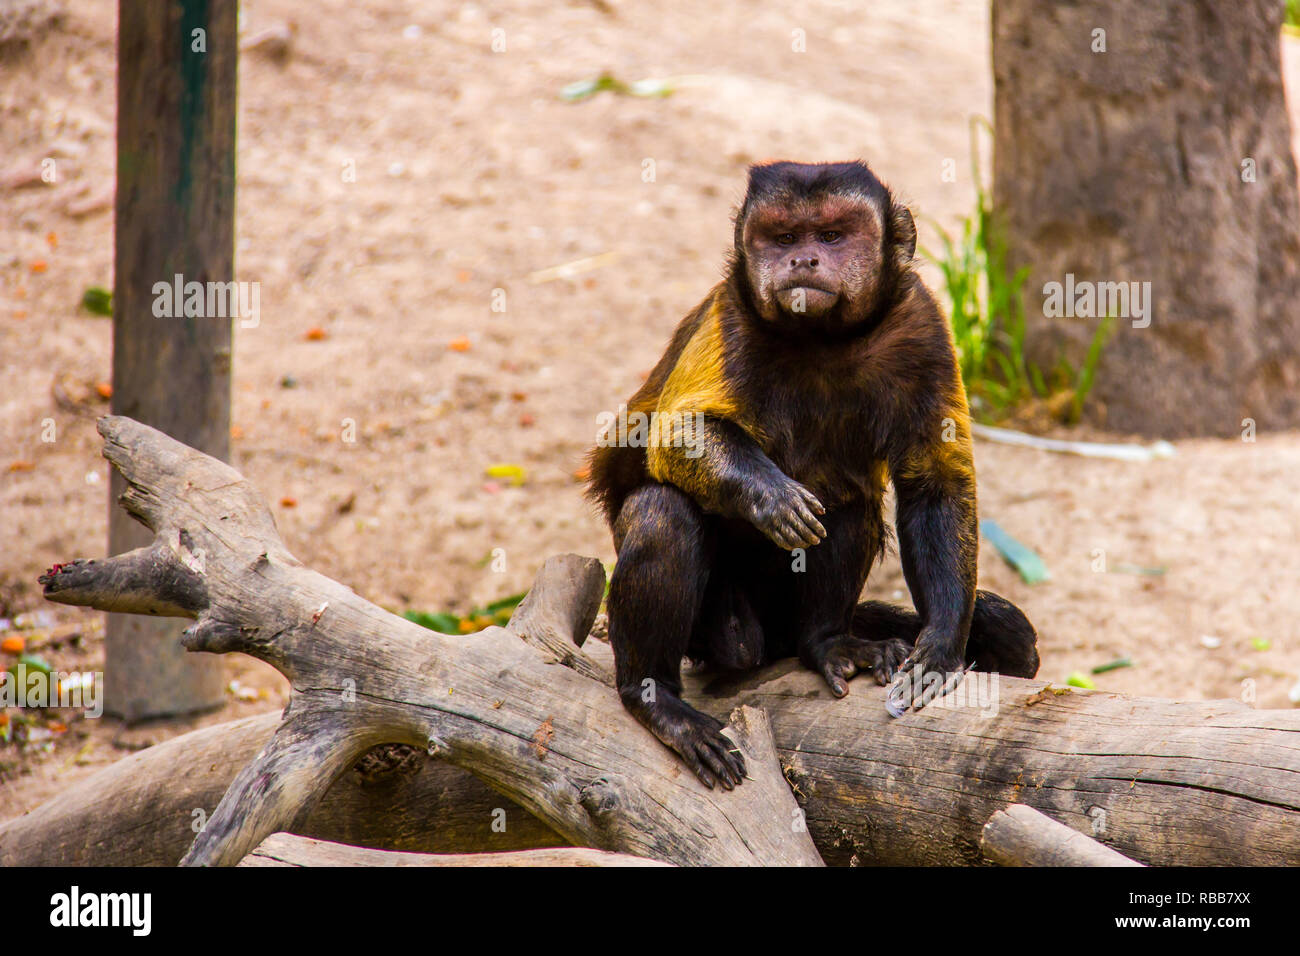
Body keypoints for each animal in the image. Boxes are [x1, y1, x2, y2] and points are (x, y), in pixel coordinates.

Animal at [586, 161, 1039, 790]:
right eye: (782, 238)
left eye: (830, 236)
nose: (802, 260)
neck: (823, 338)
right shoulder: (730, 316)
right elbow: (676, 436)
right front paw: (770, 495)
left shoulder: (921, 322)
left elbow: (935, 485)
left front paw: (941, 646)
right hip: (718, 629)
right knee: (663, 514)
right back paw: (653, 699)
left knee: (845, 503)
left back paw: (826, 643)